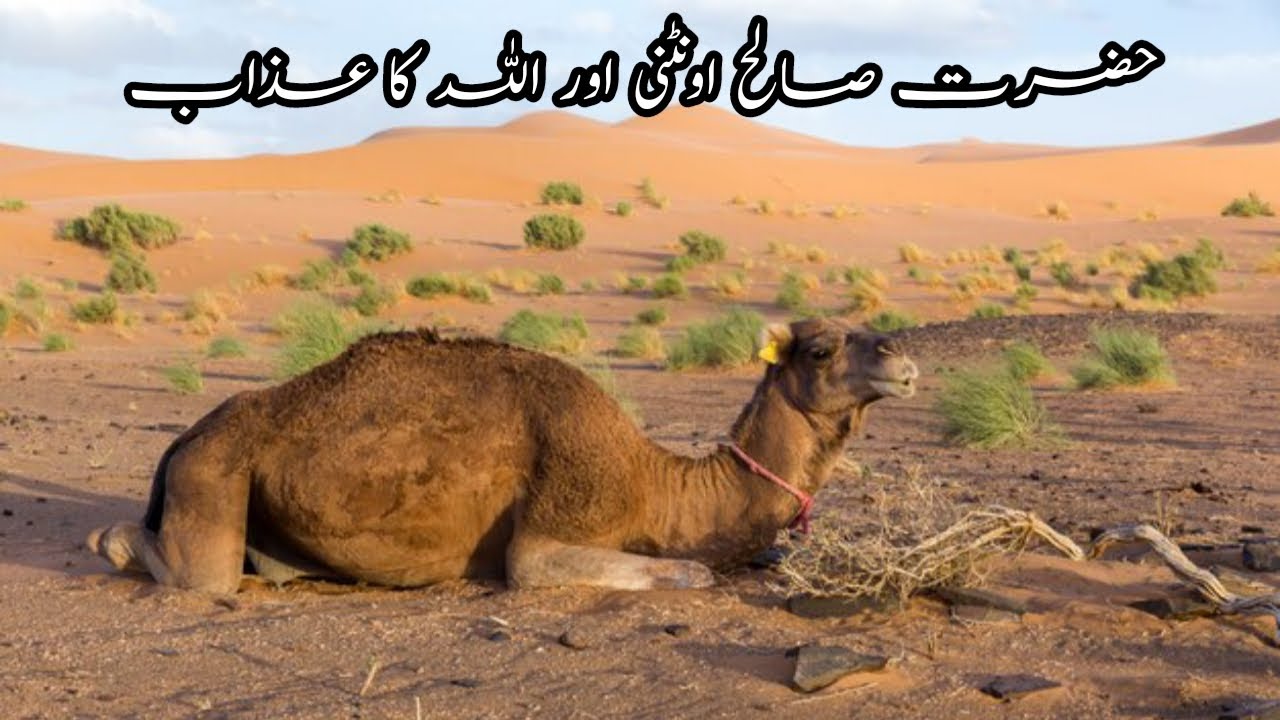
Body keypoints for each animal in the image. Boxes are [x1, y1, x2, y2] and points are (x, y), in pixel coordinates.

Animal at [87, 318, 918, 594]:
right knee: (186, 569)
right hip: (214, 474)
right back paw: (109, 540)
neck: (655, 482)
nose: (903, 361)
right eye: (821, 348)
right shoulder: (554, 527)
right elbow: (693, 571)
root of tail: (184, 439)